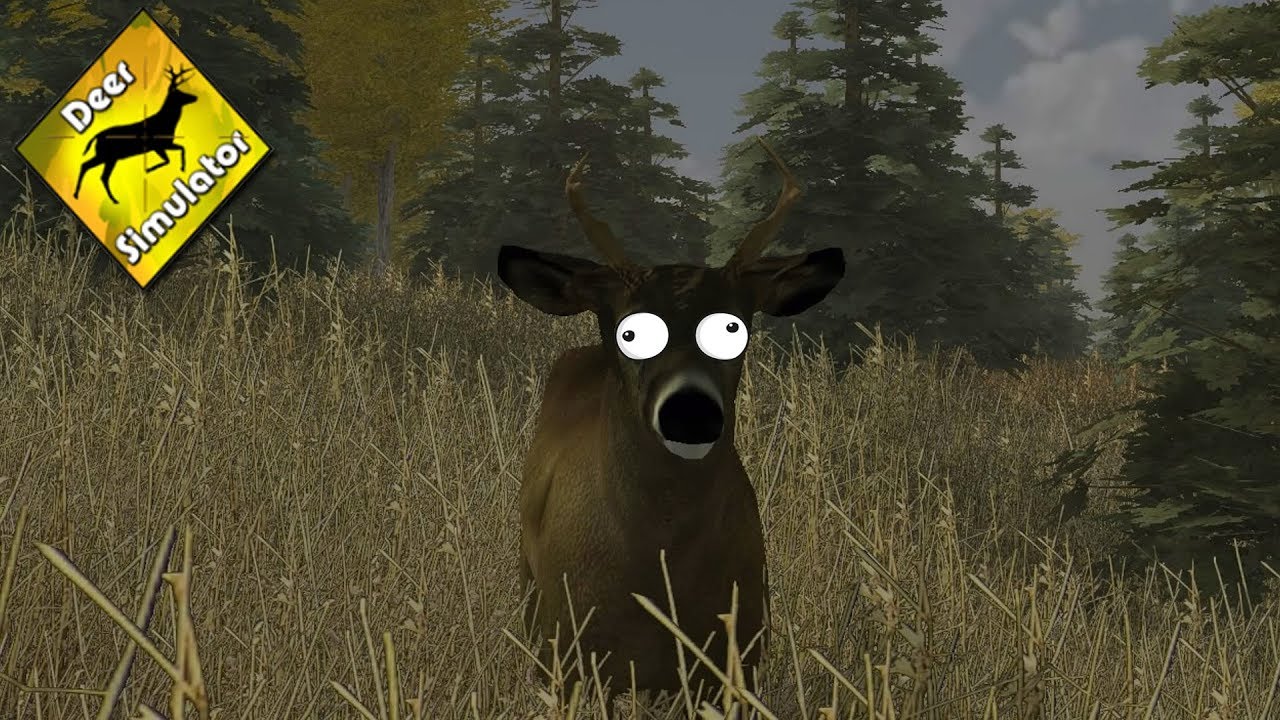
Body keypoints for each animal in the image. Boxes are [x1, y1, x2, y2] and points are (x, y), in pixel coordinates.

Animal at [74, 65, 198, 205]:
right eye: (179, 93)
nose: (195, 97)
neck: (167, 124)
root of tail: (97, 136)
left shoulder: (164, 144)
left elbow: (180, 150)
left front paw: (180, 168)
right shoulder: (158, 145)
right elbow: (171, 157)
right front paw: (149, 169)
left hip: (106, 156)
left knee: (91, 168)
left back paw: (80, 194)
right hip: (107, 155)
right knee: (98, 173)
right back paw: (112, 199)